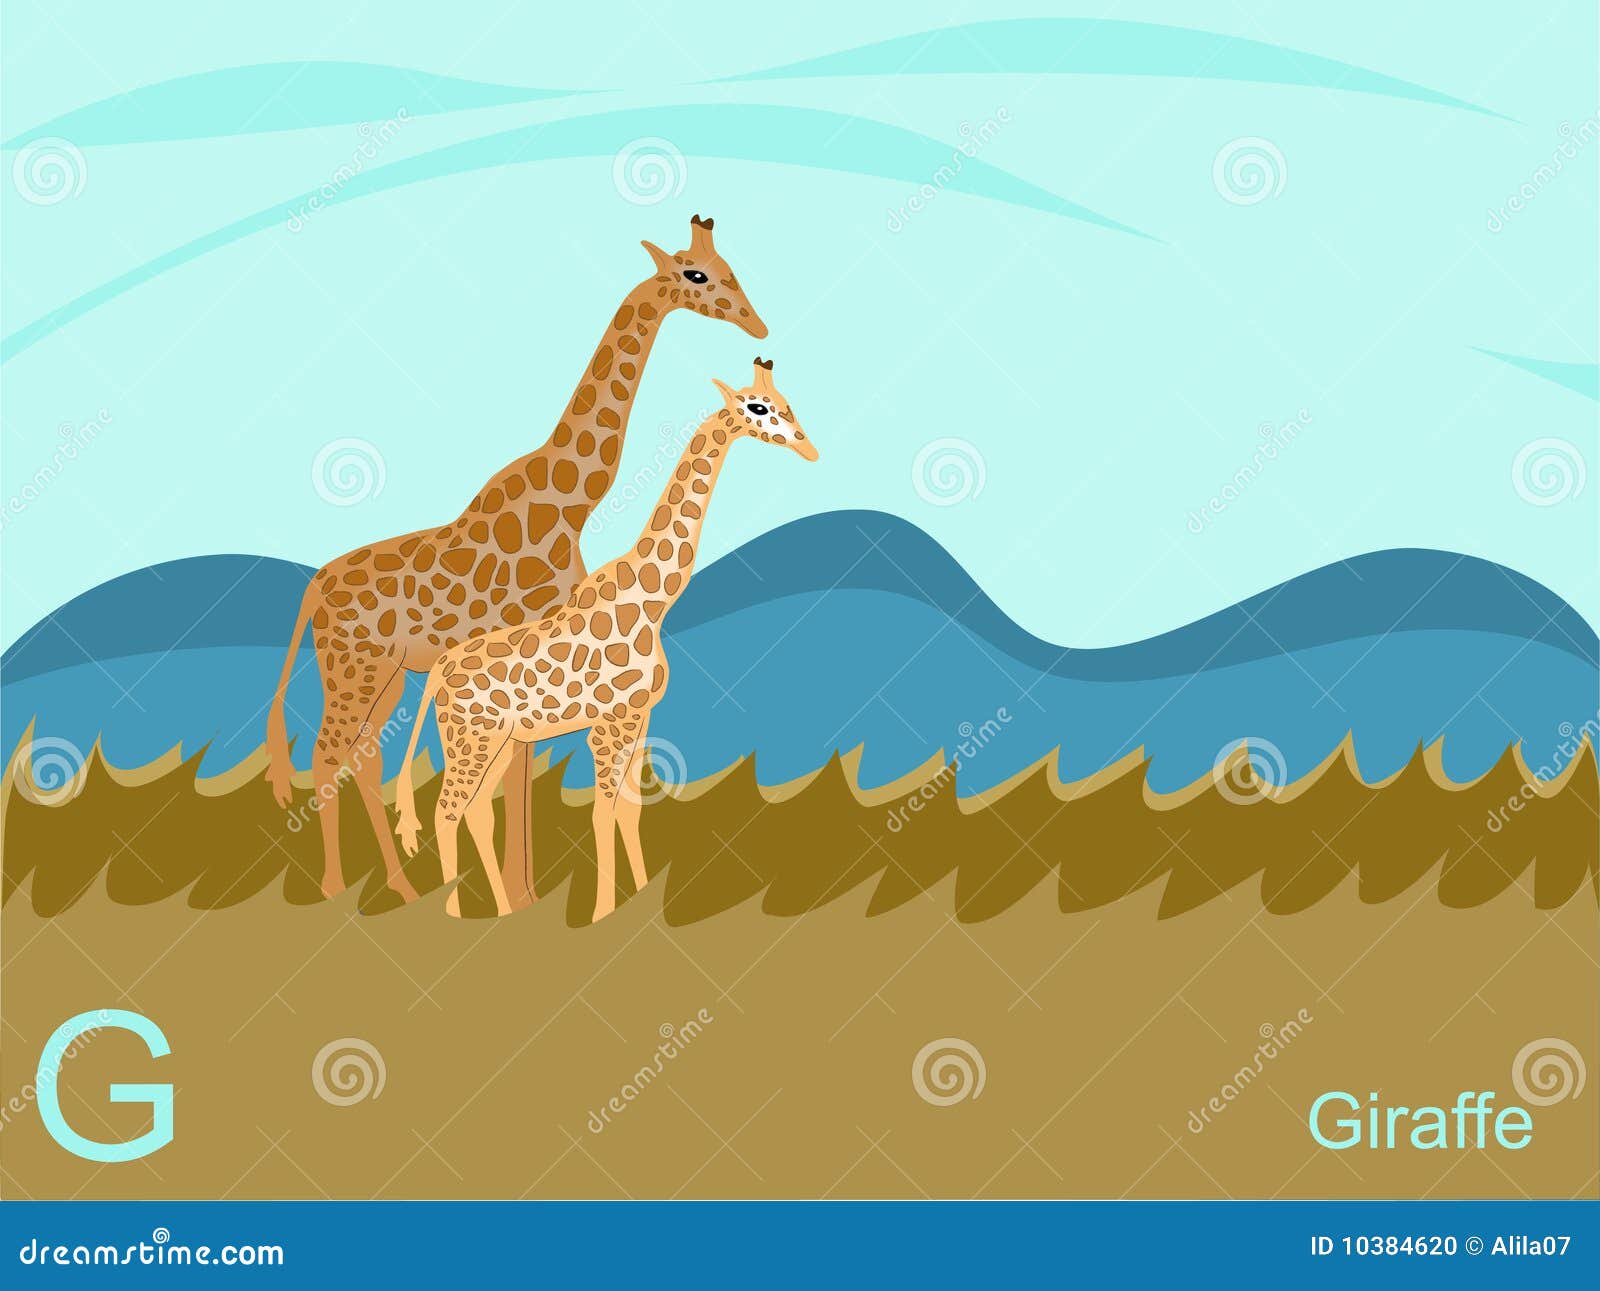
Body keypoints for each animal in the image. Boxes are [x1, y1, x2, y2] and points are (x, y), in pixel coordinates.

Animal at [265, 216, 767, 906]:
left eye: (729, 269)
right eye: (696, 274)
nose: (758, 326)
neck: (571, 504)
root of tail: (314, 587)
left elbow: (518, 774)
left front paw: (522, 896)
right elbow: (514, 778)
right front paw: (518, 898)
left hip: (384, 673)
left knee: (364, 757)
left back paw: (403, 889)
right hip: (351, 666)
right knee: (327, 753)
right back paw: (339, 888)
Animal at [393, 358, 816, 920]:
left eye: (786, 402)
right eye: (758, 407)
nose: (808, 448)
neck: (653, 600)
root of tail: (439, 671)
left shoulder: (640, 717)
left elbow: (630, 812)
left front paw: (641, 903)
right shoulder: (609, 722)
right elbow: (602, 812)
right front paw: (601, 915)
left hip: (497, 739)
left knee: (475, 810)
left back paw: (501, 913)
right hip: (470, 735)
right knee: (446, 809)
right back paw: (452, 915)